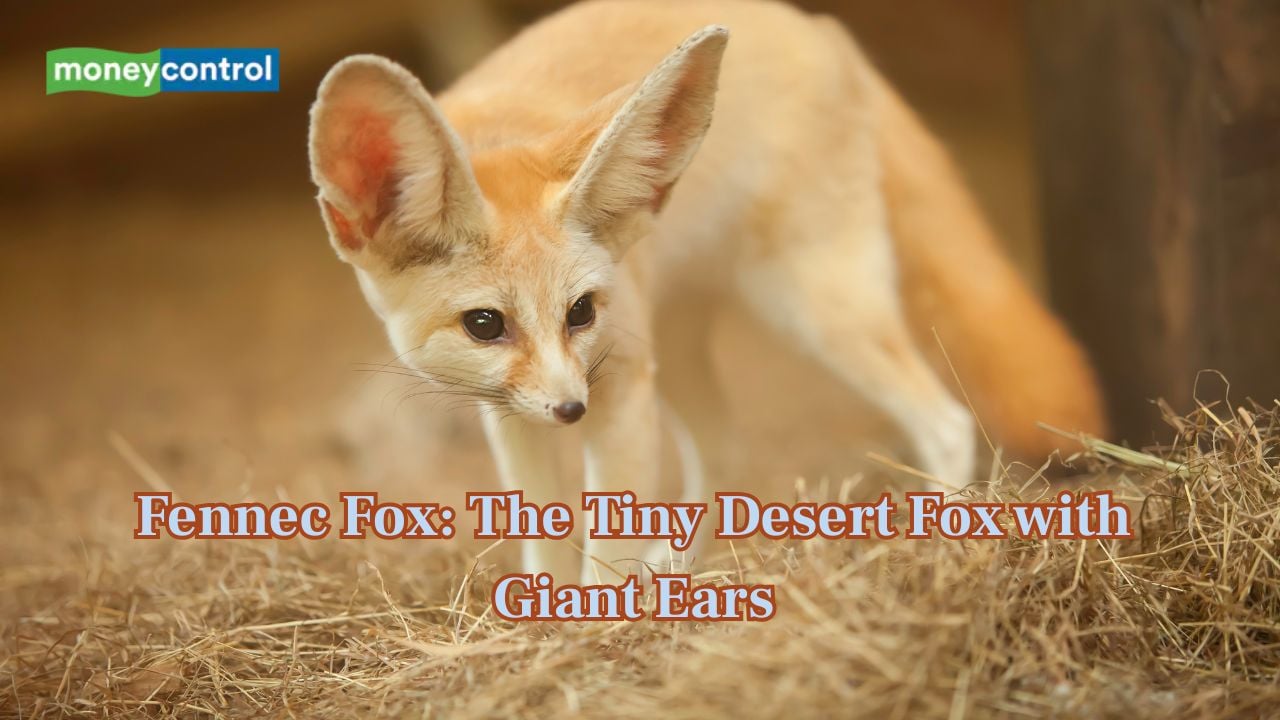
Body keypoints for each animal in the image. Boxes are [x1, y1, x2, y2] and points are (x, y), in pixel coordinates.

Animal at [308, 0, 1107, 582]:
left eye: (579, 312)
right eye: (484, 325)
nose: (571, 411)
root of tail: (820, 28)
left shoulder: (620, 392)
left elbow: (603, 547)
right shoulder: (510, 415)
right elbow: (545, 536)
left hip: (819, 311)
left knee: (944, 421)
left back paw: (934, 545)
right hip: (682, 348)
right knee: (724, 454)